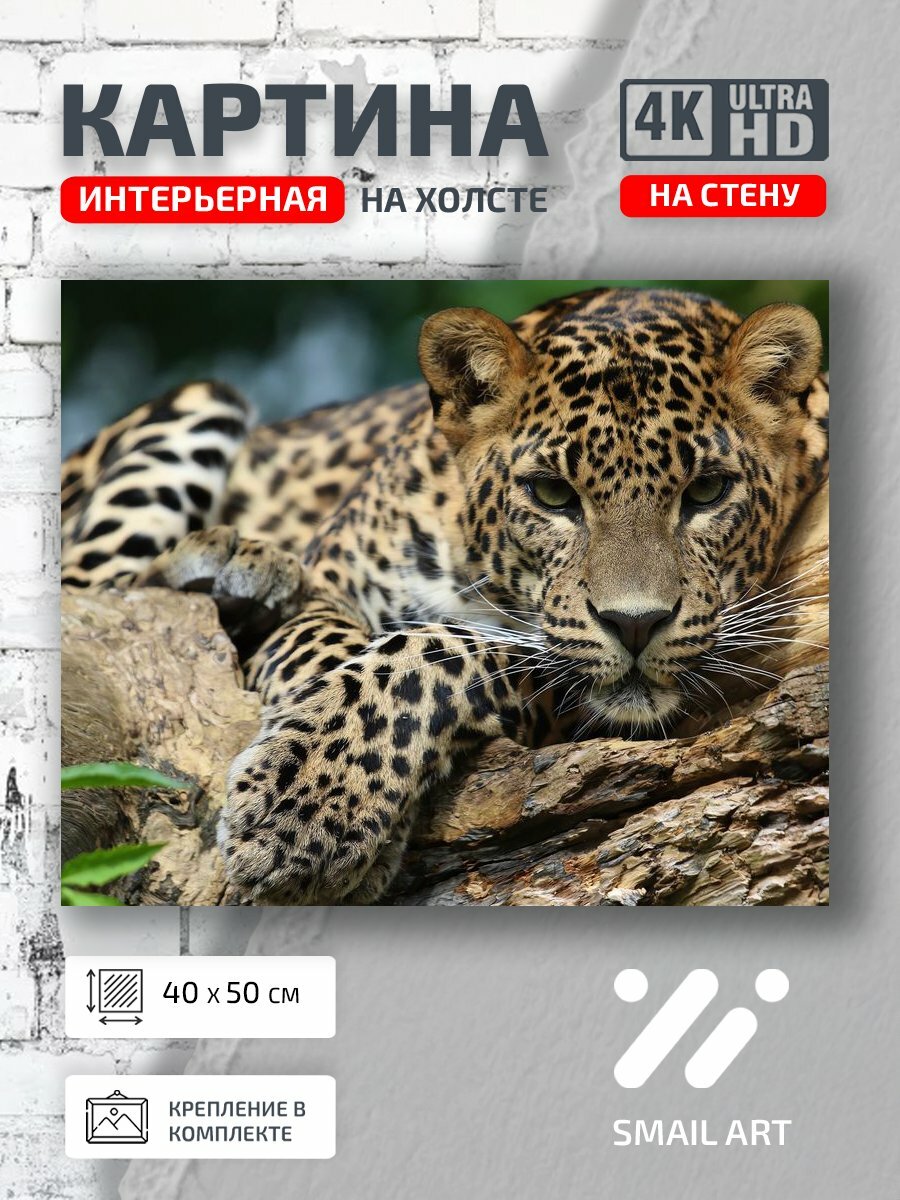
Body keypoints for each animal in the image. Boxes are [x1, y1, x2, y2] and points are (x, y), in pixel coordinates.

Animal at [61, 287, 829, 904]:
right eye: (552, 494)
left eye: (707, 492)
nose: (635, 624)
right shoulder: (327, 585)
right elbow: (334, 657)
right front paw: (308, 793)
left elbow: (436, 653)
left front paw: (311, 807)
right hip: (197, 406)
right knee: (92, 590)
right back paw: (228, 561)